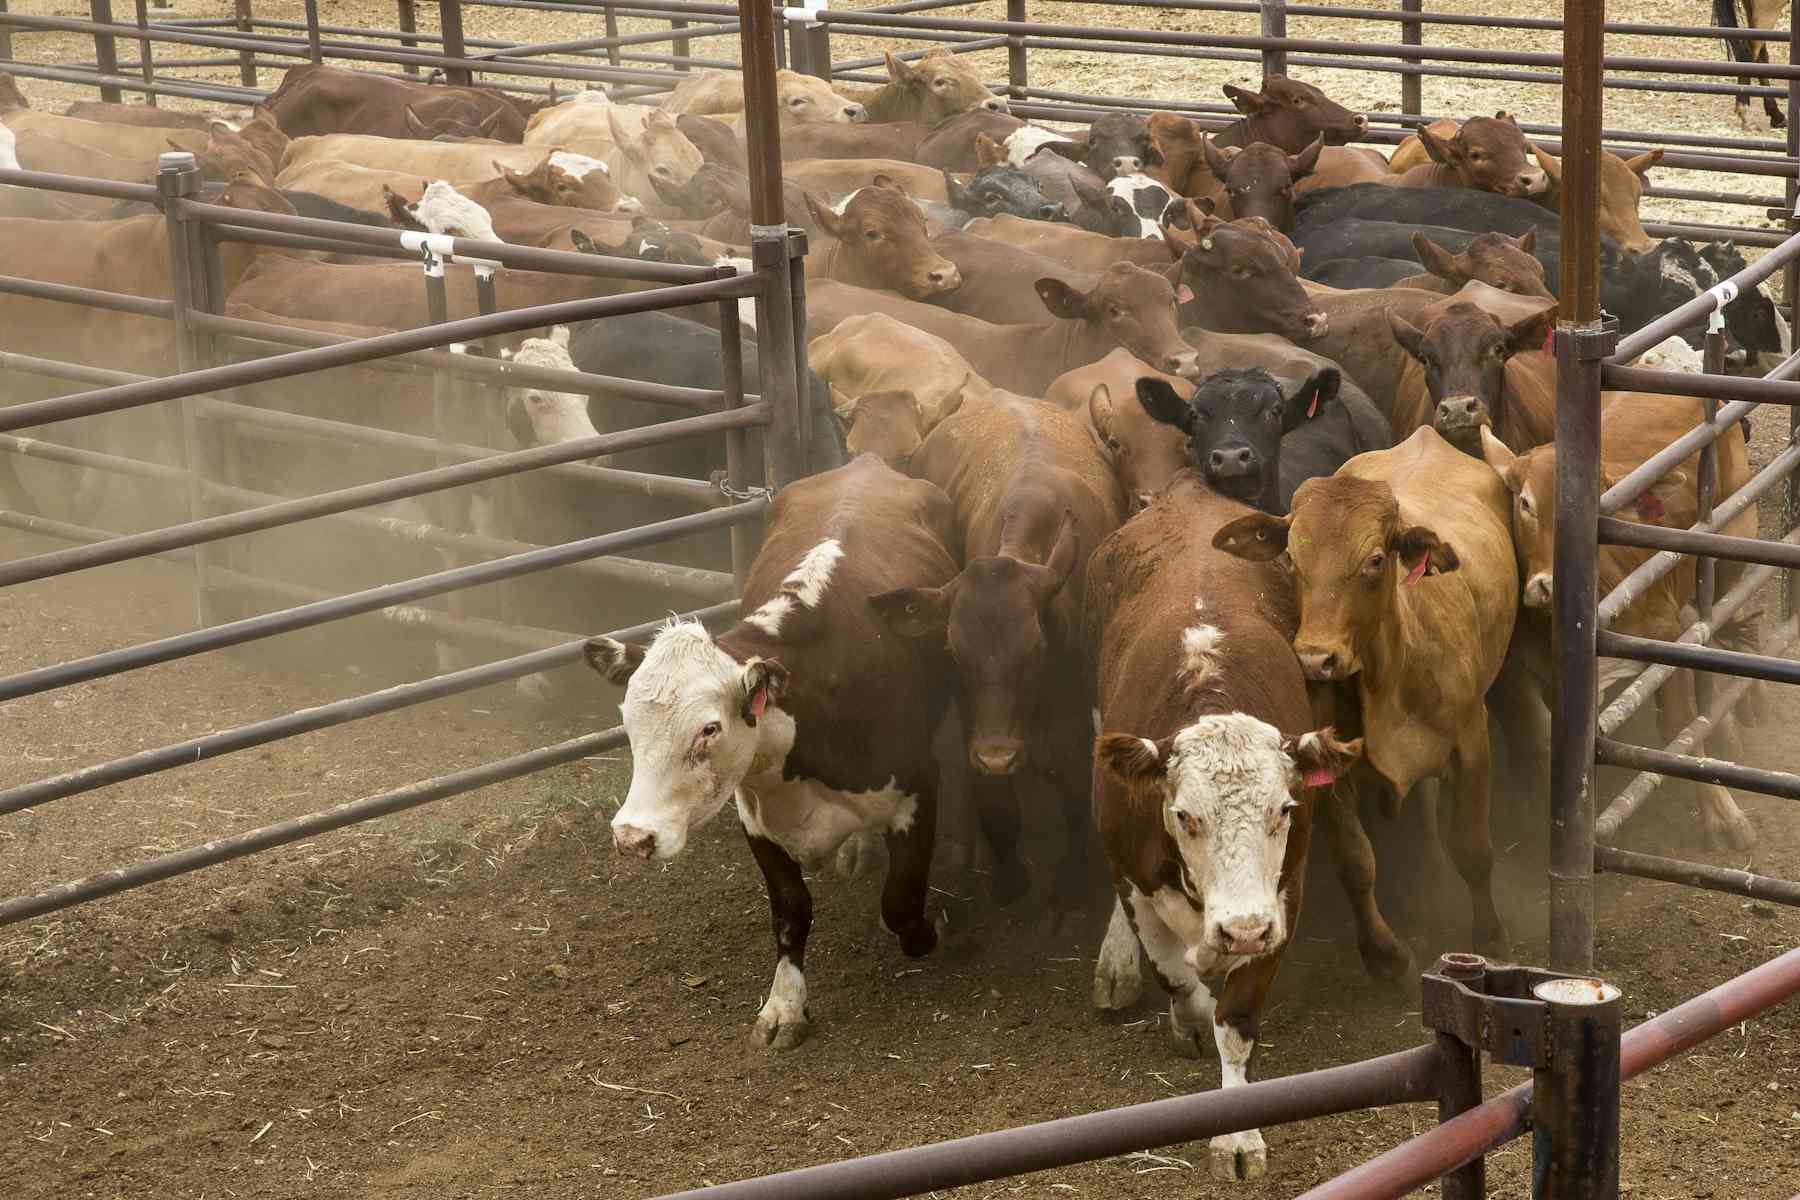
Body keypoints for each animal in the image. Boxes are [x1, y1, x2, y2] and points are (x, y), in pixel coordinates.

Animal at [585, 455, 961, 1050]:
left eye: (709, 729)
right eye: (627, 722)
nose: (632, 838)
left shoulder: (919, 785)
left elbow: (901, 902)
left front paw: (933, 930)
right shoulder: (754, 814)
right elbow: (790, 910)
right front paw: (784, 1005)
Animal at [873, 396, 1125, 907]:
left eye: (1035, 651)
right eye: (953, 652)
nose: (997, 757)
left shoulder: (1073, 713)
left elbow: (1073, 790)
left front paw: (1072, 880)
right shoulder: (975, 717)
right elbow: (996, 805)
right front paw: (1010, 877)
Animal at [1085, 471, 1362, 1181]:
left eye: (1284, 809)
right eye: (1185, 815)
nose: (1240, 930)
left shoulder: (1282, 897)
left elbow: (1235, 1020)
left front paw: (1237, 1137)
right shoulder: (1131, 875)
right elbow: (1179, 980)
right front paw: (1189, 1011)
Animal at [1214, 426, 1517, 965]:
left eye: (1375, 560)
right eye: (1292, 558)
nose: (1316, 660)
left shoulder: (1473, 743)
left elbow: (1473, 850)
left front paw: (1490, 939)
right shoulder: (1327, 767)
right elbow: (1356, 863)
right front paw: (1385, 955)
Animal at [1481, 395, 1759, 852]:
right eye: (1525, 504)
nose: (1549, 586)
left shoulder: (1665, 638)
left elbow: (1678, 727)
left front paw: (1723, 815)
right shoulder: (1512, 671)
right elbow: (1540, 740)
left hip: (1733, 549)